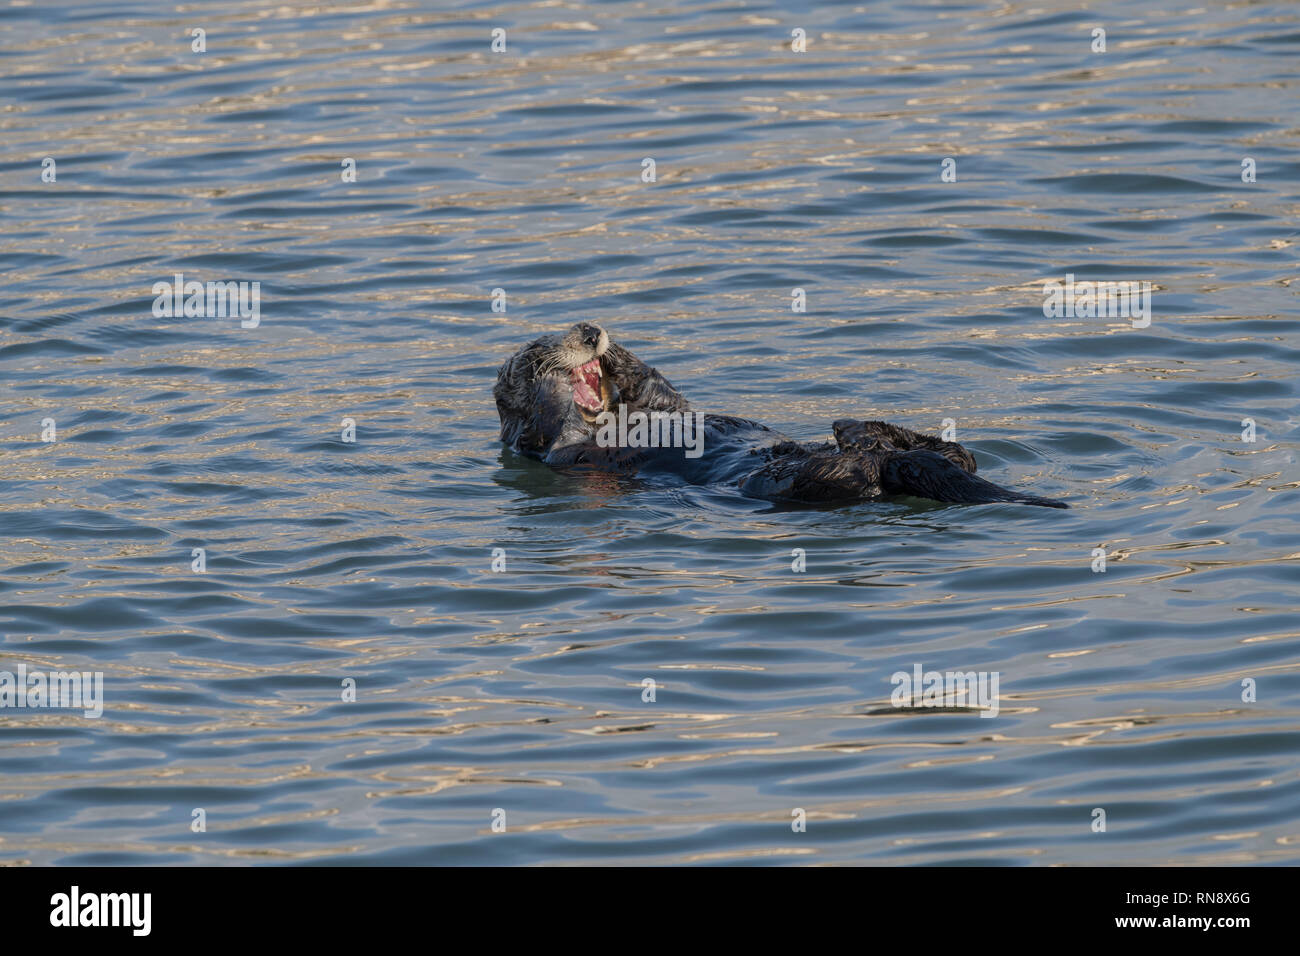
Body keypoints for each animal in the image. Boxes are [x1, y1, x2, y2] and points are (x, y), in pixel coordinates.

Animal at [494, 322, 1068, 508]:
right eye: (535, 349)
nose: (588, 331)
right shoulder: (562, 450)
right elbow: (548, 424)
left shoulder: (665, 404)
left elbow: (664, 393)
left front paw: (616, 354)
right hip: (796, 483)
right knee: (856, 469)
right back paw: (854, 432)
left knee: (959, 455)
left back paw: (871, 428)